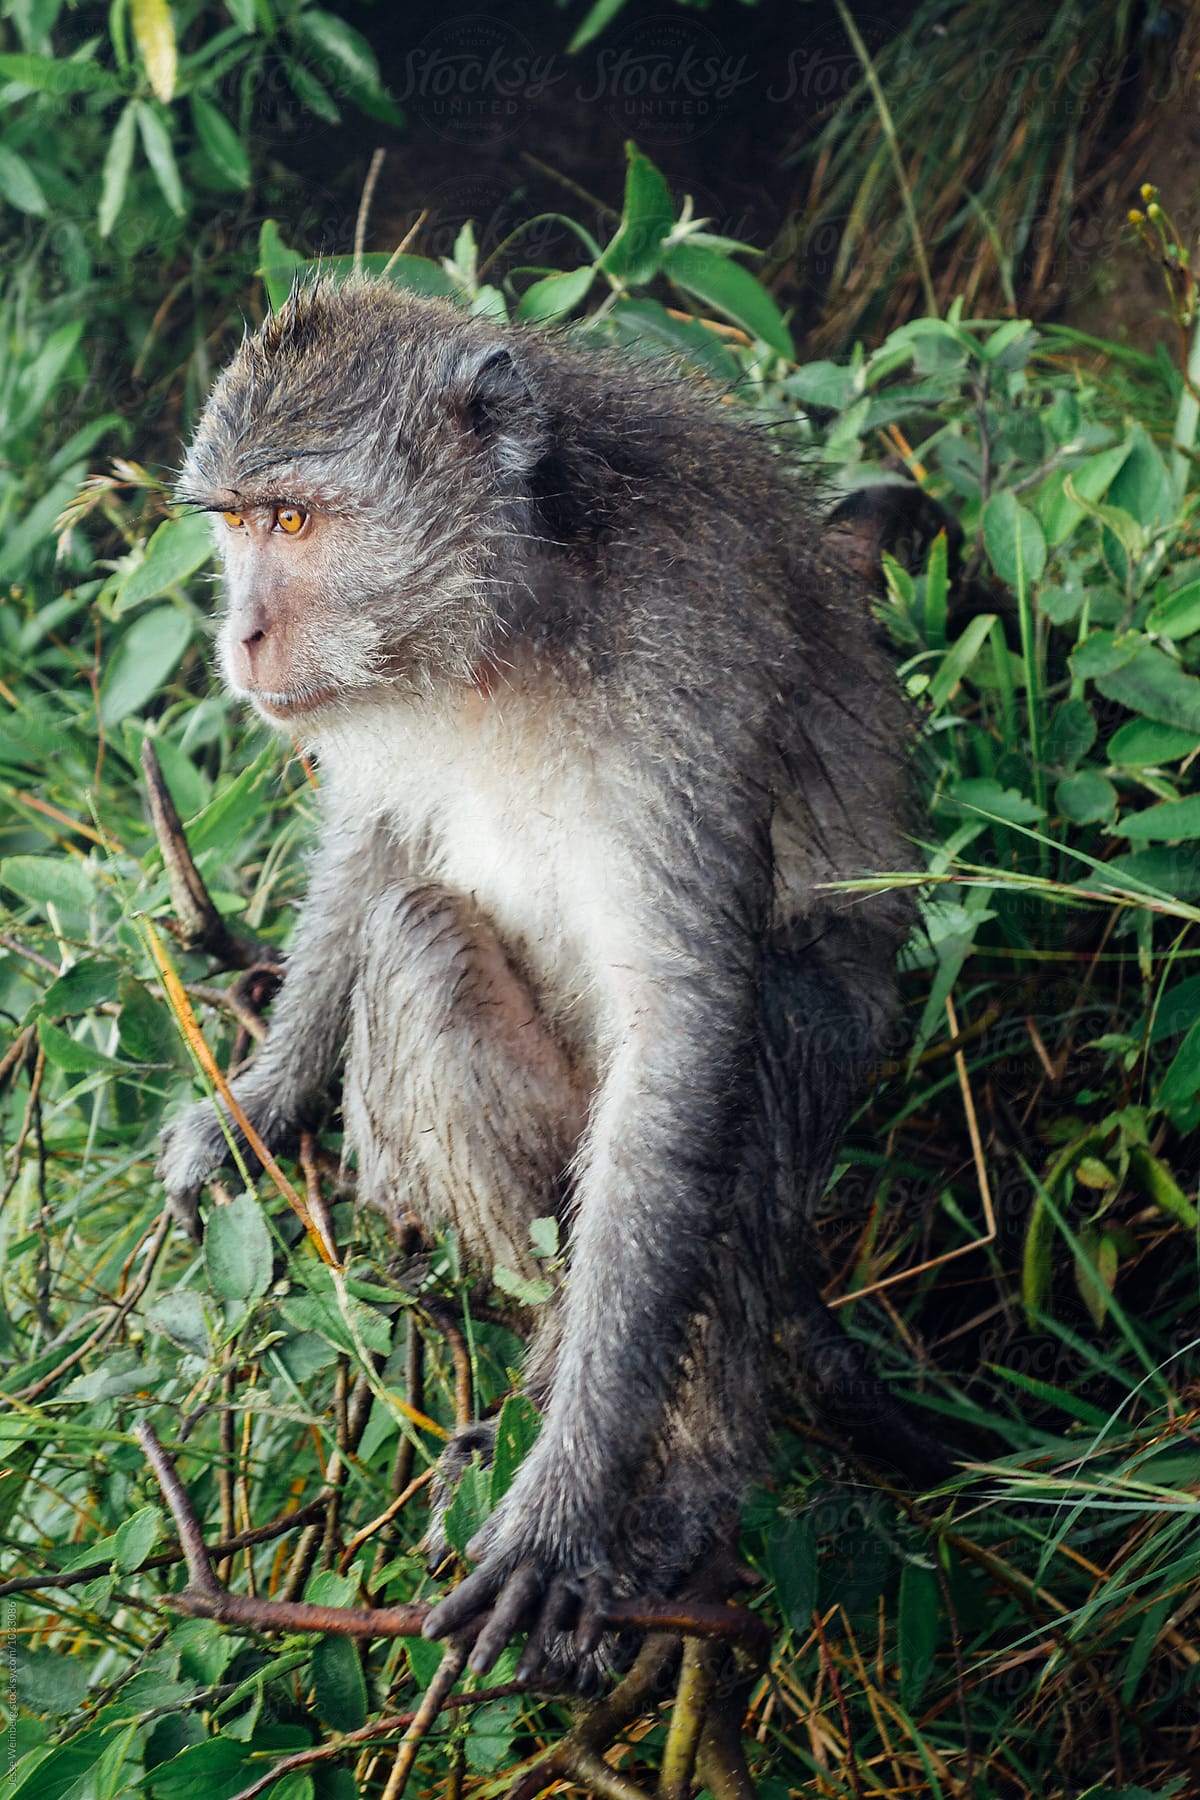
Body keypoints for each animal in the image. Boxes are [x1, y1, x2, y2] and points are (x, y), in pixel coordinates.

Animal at [158, 275, 949, 1686]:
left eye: (295, 520)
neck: (499, 627)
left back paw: (663, 1482)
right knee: (418, 937)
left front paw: (567, 1510)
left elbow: (687, 1026)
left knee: (767, 1043)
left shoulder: (676, 668)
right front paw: (258, 1104)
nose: (238, 633)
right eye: (237, 526)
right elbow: (377, 844)